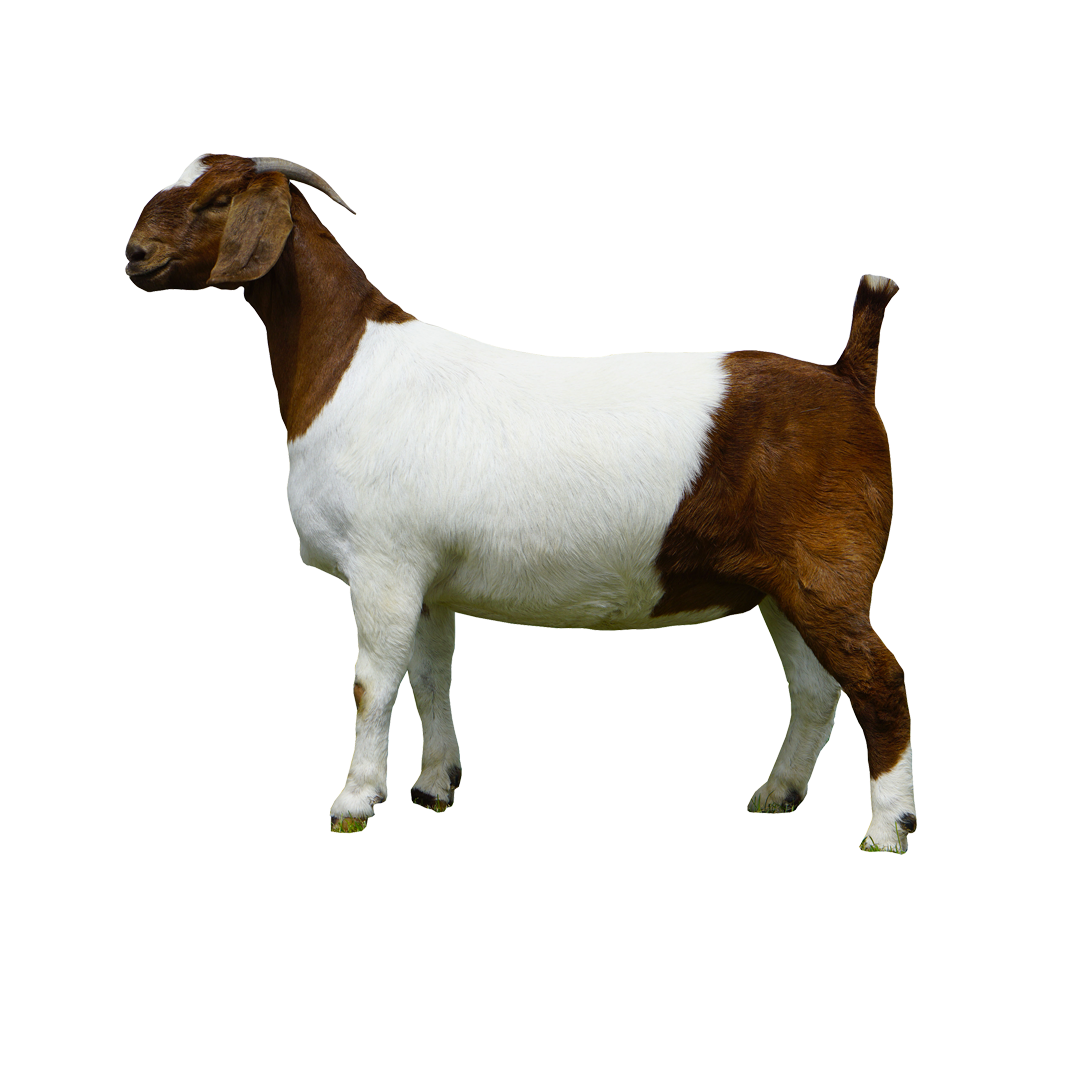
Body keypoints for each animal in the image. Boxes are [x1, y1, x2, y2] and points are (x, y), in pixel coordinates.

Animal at [126, 154, 916, 852]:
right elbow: (430, 675)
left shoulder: (383, 565)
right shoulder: (427, 577)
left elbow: (371, 683)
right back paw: (778, 793)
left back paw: (886, 831)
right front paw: (432, 785)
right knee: (815, 690)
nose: (136, 255)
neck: (348, 368)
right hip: (784, 586)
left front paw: (352, 801)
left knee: (879, 681)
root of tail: (846, 375)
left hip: (829, 571)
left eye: (216, 200)